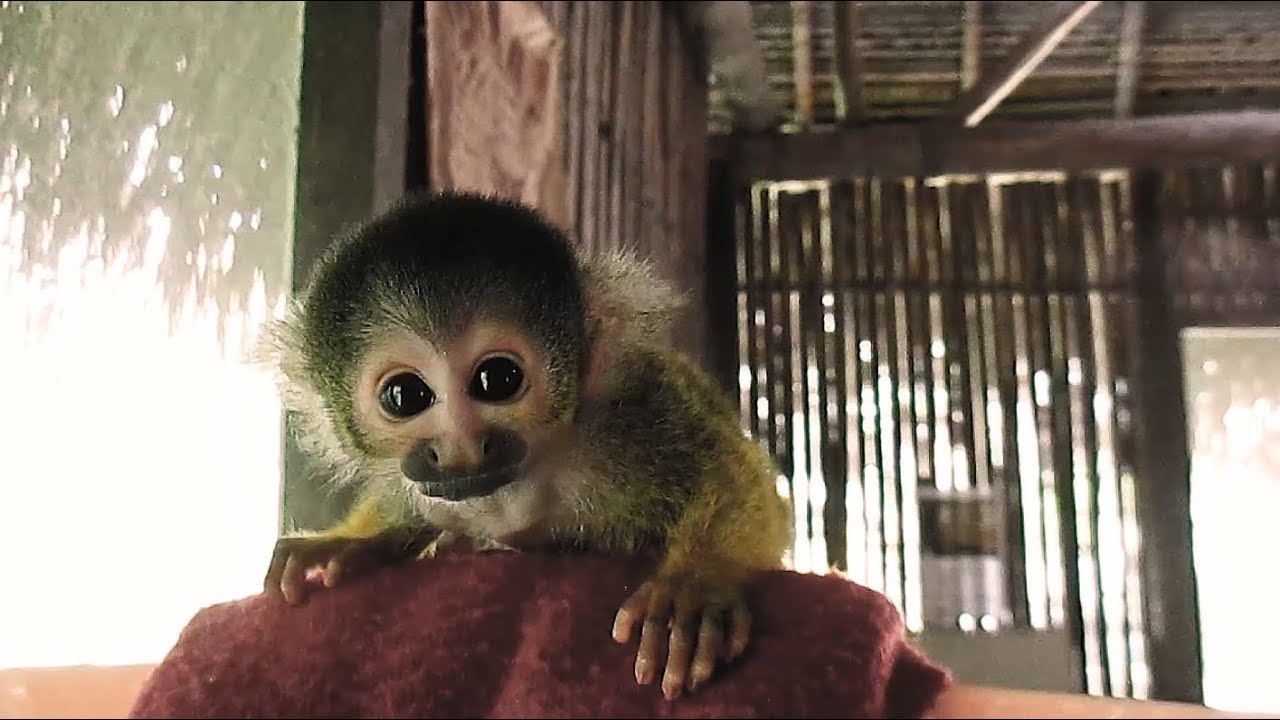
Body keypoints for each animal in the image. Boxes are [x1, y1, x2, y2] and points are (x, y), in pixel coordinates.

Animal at [261, 191, 793, 701]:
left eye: (497, 379)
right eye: (405, 395)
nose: (461, 447)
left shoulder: (634, 414)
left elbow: (729, 473)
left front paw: (699, 583)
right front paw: (354, 542)